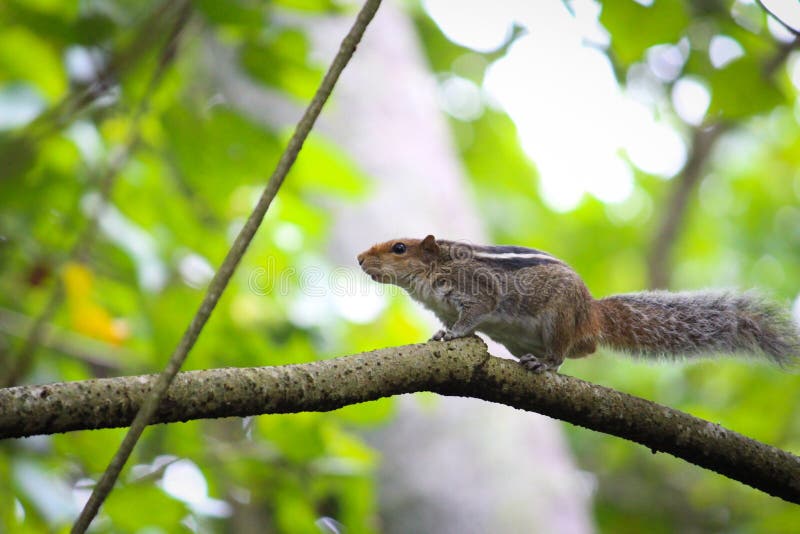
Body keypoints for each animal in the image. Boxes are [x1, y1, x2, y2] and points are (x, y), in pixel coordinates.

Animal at [357, 235, 800, 372]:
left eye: (400, 248)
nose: (360, 259)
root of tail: (592, 314)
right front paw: (441, 333)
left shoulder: (479, 288)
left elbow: (476, 314)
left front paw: (455, 335)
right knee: (583, 350)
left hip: (559, 318)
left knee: (571, 350)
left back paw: (546, 363)